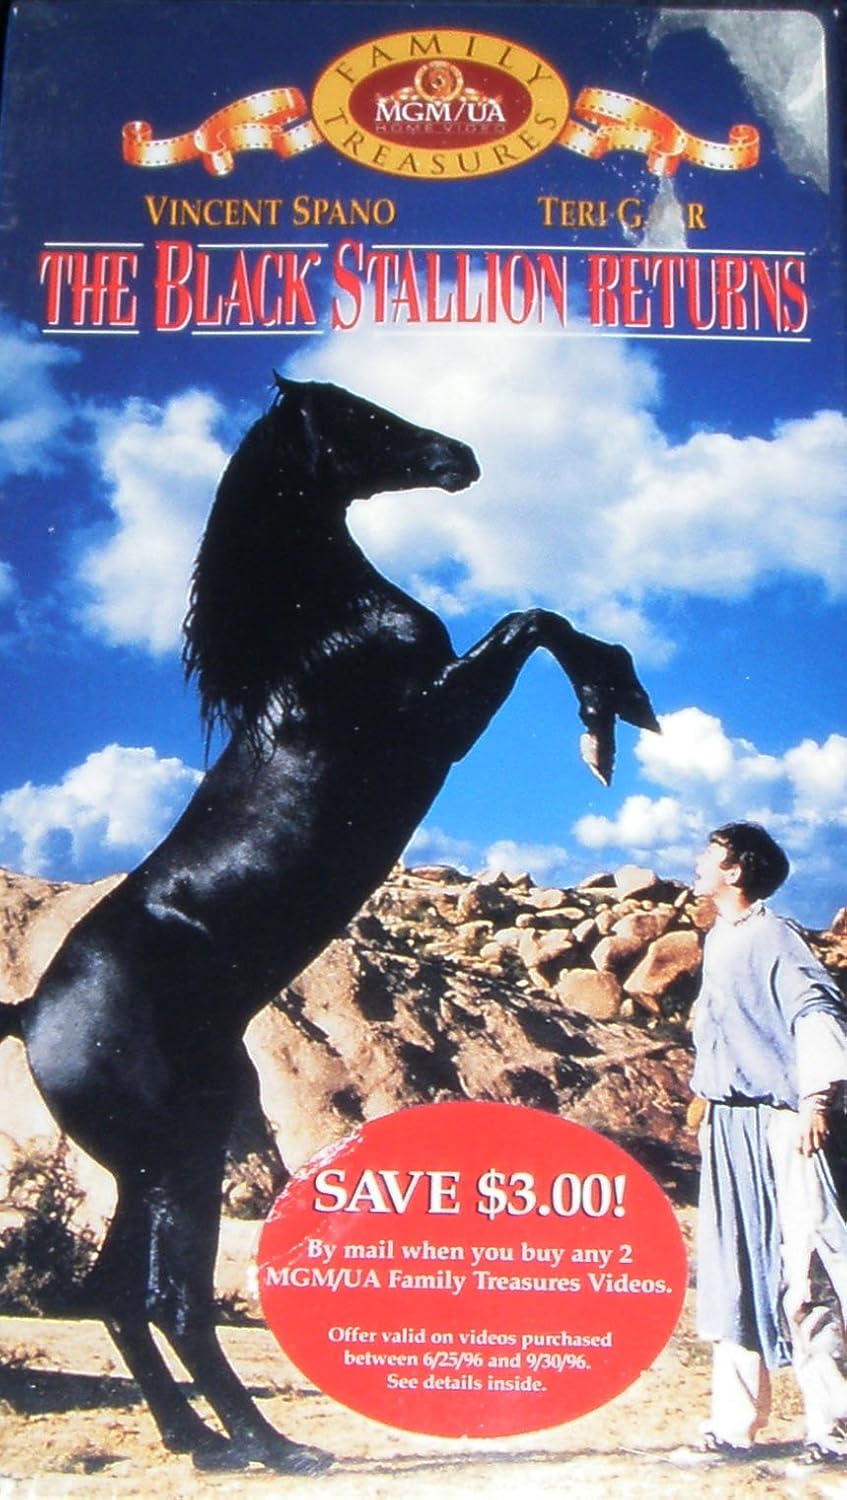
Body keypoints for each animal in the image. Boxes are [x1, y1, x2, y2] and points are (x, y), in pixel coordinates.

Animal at [1, 377, 659, 1472]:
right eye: (361, 420)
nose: (459, 456)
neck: (317, 639)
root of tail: (29, 1016)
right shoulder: (437, 719)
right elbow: (531, 622)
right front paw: (609, 721)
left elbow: (543, 621)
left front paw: (619, 711)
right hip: (178, 1156)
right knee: (172, 1300)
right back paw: (268, 1447)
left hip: (146, 1163)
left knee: (119, 1298)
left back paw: (200, 1442)